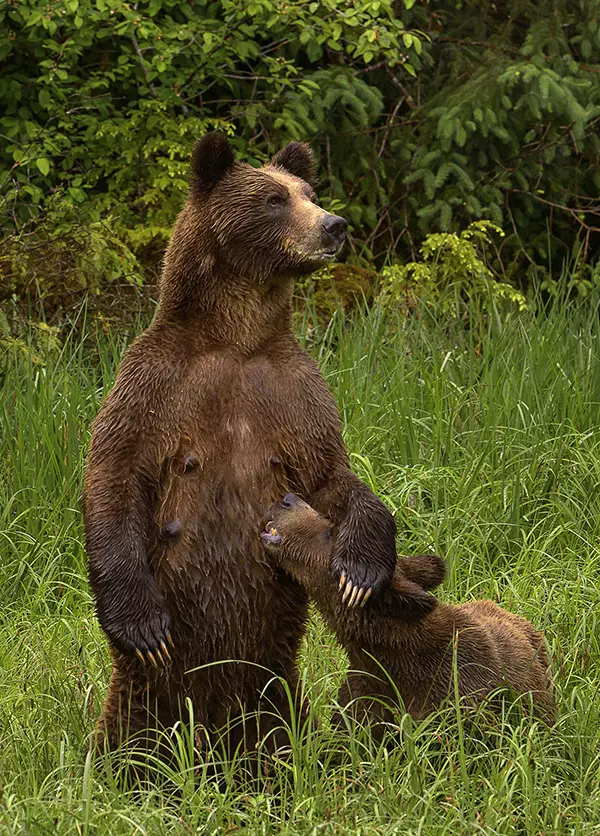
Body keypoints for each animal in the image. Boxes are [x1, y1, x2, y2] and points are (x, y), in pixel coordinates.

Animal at [83, 134, 394, 756]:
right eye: (274, 198)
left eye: (309, 191)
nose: (334, 225)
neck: (236, 337)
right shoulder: (156, 383)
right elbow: (115, 470)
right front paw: (142, 624)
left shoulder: (292, 389)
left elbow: (330, 476)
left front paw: (360, 571)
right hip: (144, 694)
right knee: (128, 732)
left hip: (274, 679)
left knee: (280, 722)